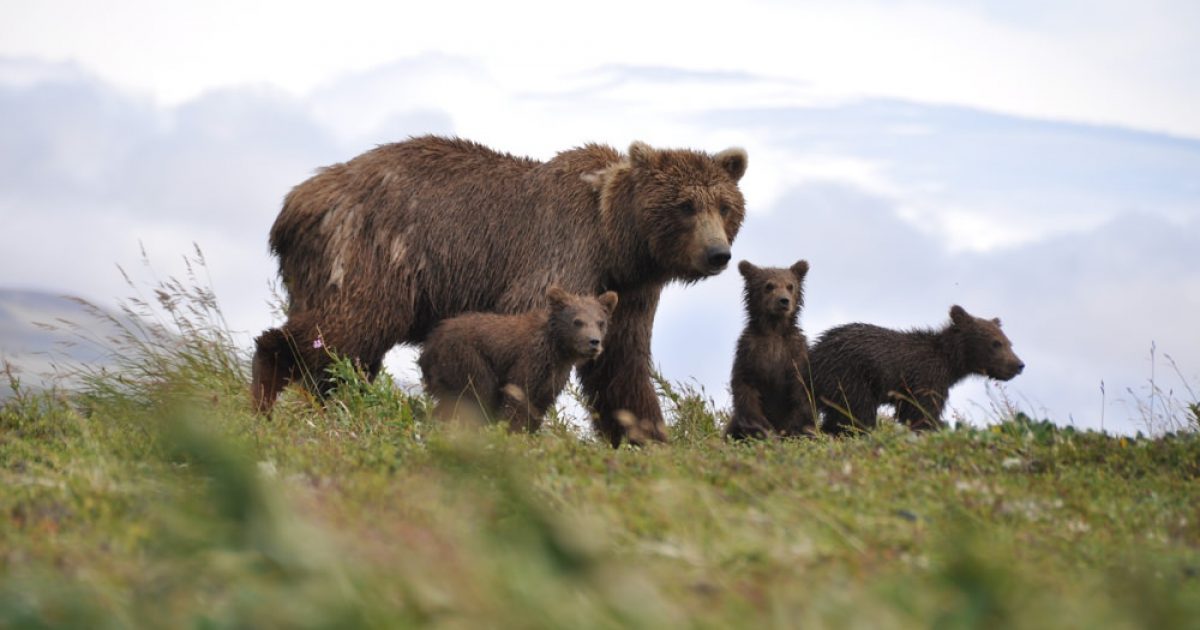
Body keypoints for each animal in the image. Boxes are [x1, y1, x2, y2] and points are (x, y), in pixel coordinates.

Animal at [418, 286, 618, 432]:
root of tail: (429, 345)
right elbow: (517, 399)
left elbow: (539, 406)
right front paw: (511, 432)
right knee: (479, 394)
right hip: (464, 357)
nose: (594, 342)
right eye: (577, 321)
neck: (559, 349)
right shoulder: (531, 361)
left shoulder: (554, 377)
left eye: (600, 322)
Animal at [724, 259, 816, 440]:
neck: (774, 329)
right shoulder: (749, 352)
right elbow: (746, 390)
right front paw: (765, 431)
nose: (784, 301)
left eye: (790, 286)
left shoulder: (795, 352)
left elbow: (801, 392)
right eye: (769, 286)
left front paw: (791, 432)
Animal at [808, 305, 1025, 435]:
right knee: (857, 414)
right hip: (849, 377)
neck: (951, 363)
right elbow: (921, 413)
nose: (1019, 365)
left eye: (1008, 342)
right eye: (996, 343)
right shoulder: (926, 377)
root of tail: (814, 353)